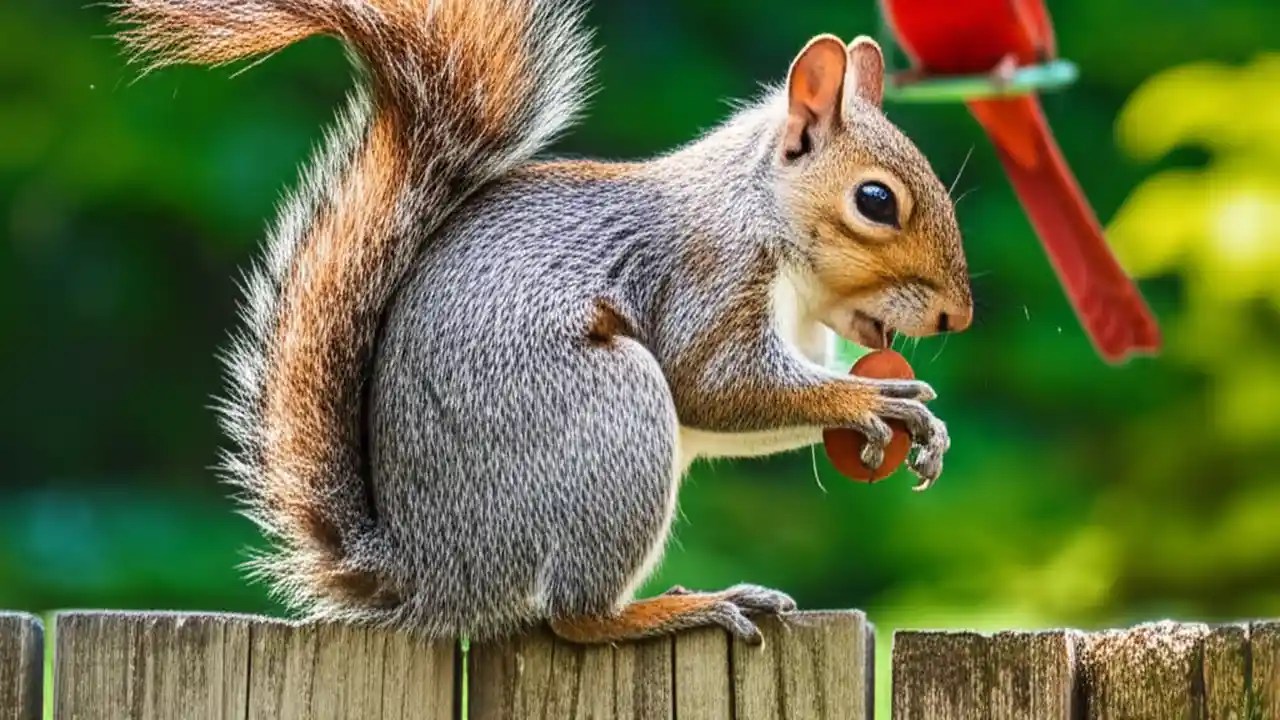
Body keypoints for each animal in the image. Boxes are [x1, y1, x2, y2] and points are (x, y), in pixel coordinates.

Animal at [114, 0, 973, 644]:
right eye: (874, 200)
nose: (956, 316)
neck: (765, 219)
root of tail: (429, 574)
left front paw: (919, 430)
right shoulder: (707, 275)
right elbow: (714, 384)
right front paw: (871, 401)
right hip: (608, 421)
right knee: (573, 619)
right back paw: (680, 608)